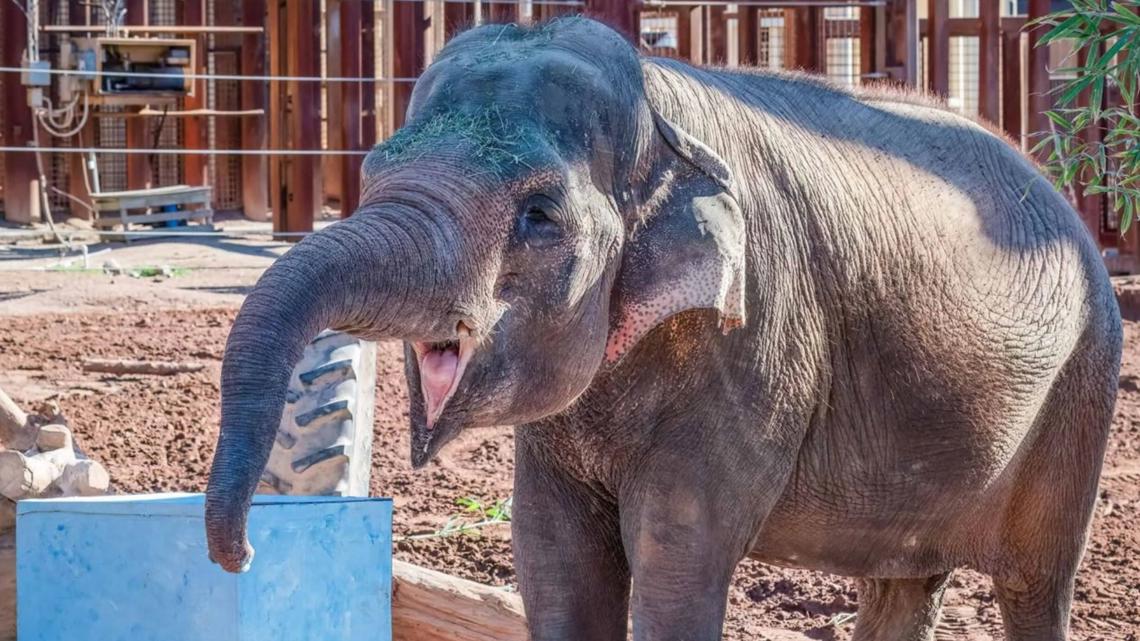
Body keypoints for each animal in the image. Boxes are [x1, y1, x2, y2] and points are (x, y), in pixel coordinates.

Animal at [204, 17, 1122, 641]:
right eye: (373, 170)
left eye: (538, 216)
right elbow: (557, 561)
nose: (243, 555)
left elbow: (676, 556)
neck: (661, 110)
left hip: (1081, 388)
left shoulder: (754, 345)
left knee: (1034, 581)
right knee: (907, 579)